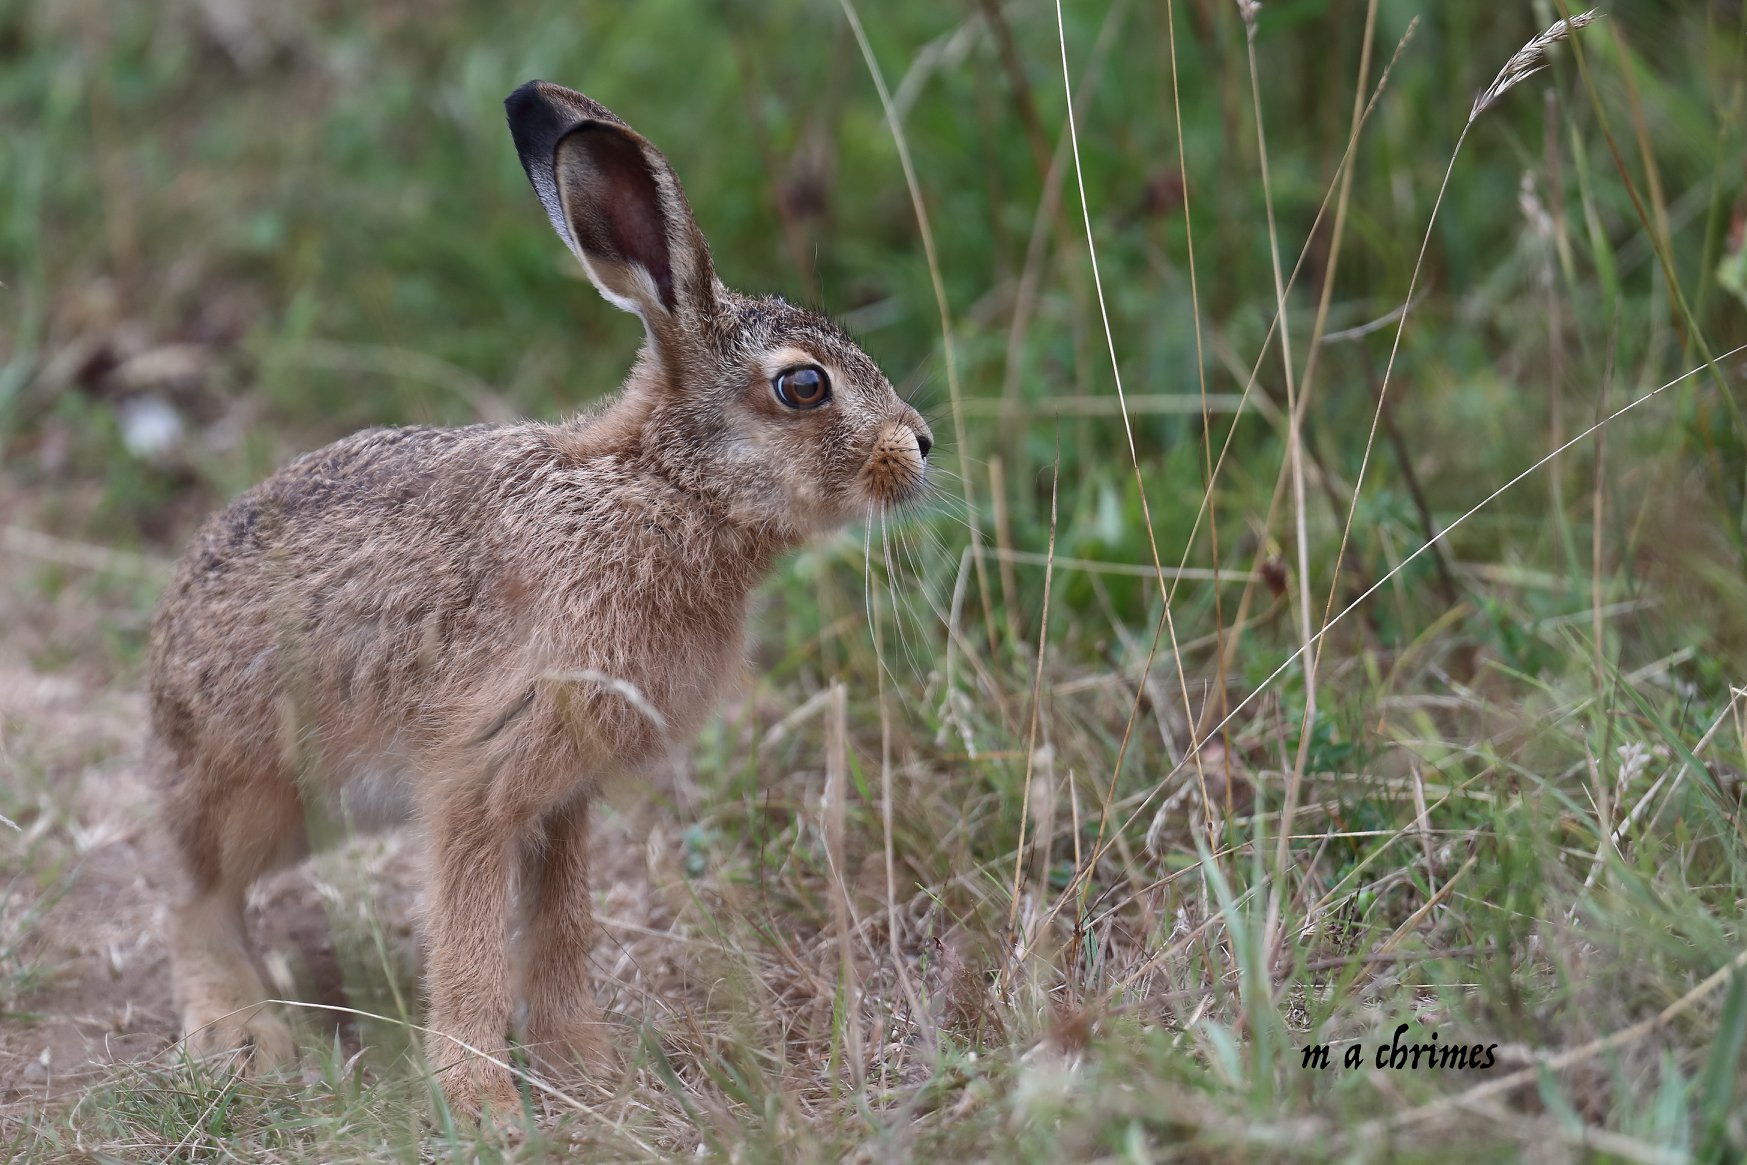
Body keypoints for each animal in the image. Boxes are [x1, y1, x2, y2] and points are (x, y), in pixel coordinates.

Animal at [146, 79, 933, 1115]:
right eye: (804, 385)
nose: (918, 445)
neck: (660, 491)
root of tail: (160, 681)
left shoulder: (565, 798)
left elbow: (560, 927)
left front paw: (588, 1067)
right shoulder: (478, 774)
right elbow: (474, 941)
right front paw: (482, 1104)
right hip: (259, 794)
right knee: (194, 895)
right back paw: (239, 1031)